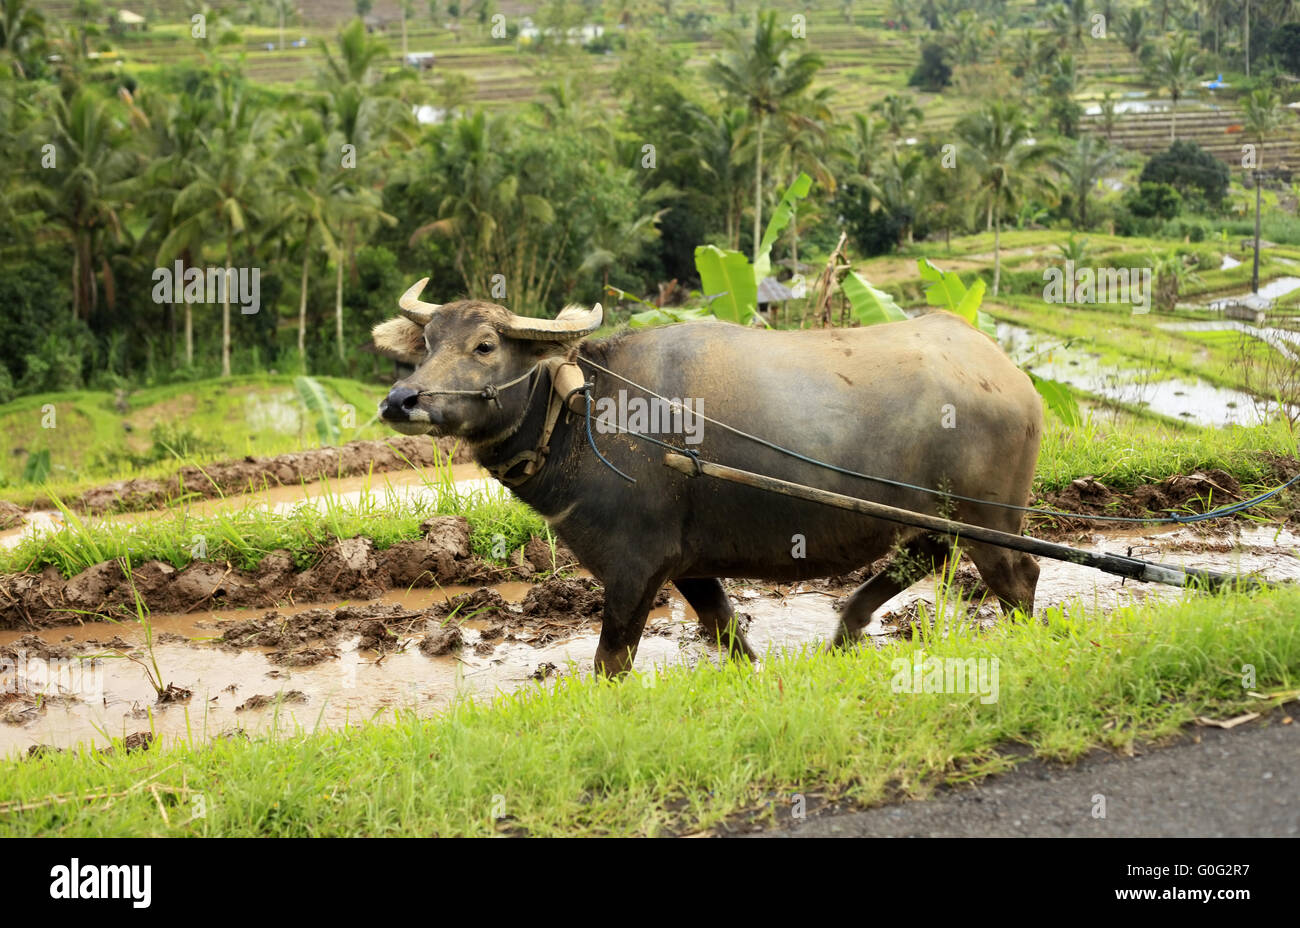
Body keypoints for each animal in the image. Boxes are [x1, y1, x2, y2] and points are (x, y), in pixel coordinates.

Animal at [374, 278, 1042, 676]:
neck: (589, 416)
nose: (401, 400)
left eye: (486, 345)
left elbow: (611, 659)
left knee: (1017, 577)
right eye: (428, 343)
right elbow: (725, 630)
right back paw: (845, 632)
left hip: (990, 521)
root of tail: (1010, 374)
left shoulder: (635, 565)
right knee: (929, 555)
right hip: (935, 516)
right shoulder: (687, 564)